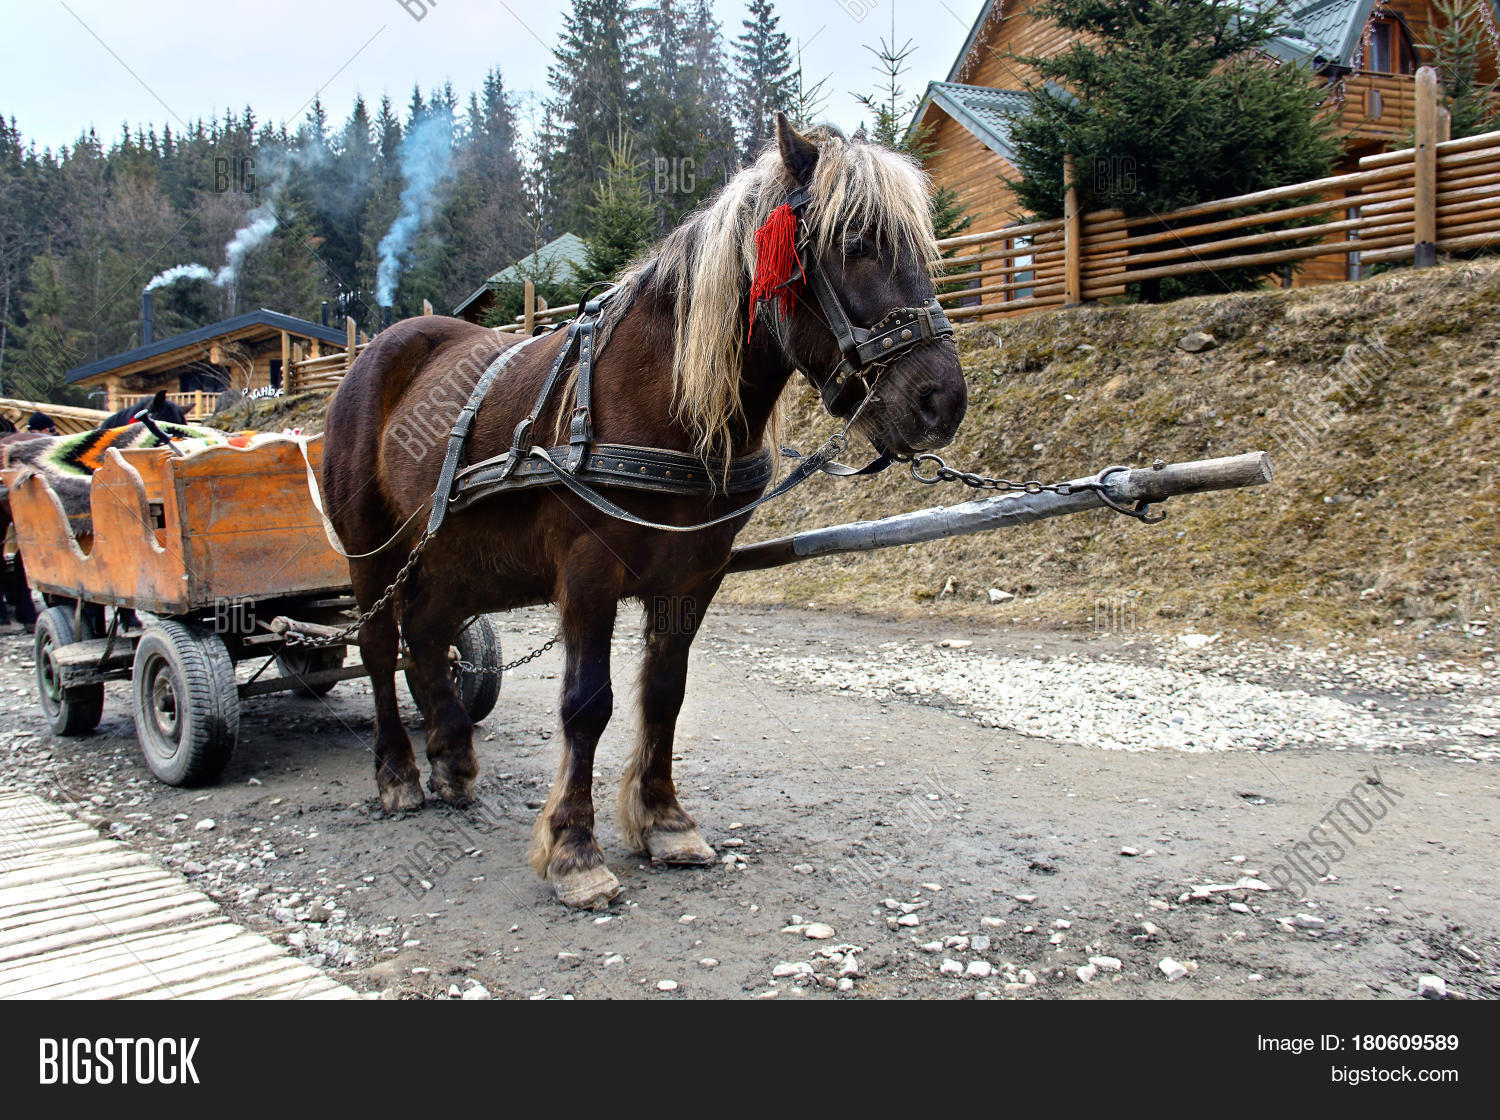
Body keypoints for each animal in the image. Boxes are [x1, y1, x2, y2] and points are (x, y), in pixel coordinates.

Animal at [321, 116, 968, 908]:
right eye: (856, 243)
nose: (942, 401)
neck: (661, 395)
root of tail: (377, 351)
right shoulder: (587, 576)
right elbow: (586, 704)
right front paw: (574, 849)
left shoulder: (694, 574)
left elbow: (664, 692)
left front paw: (664, 822)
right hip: (371, 549)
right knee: (382, 646)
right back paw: (397, 773)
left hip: (448, 553)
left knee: (428, 631)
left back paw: (450, 756)